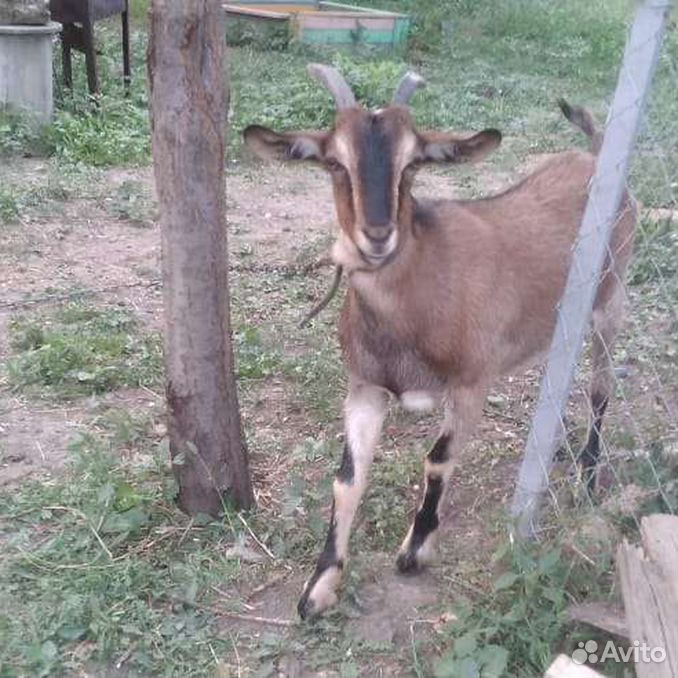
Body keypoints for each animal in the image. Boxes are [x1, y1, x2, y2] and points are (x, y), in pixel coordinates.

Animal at [244, 65, 636, 619]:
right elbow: (347, 480)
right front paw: (319, 587)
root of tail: (598, 153)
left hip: (611, 298)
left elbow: (437, 458)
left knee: (602, 385)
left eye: (413, 163)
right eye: (334, 162)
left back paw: (586, 475)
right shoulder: (365, 387)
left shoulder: (472, 382)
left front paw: (416, 550)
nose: (377, 235)